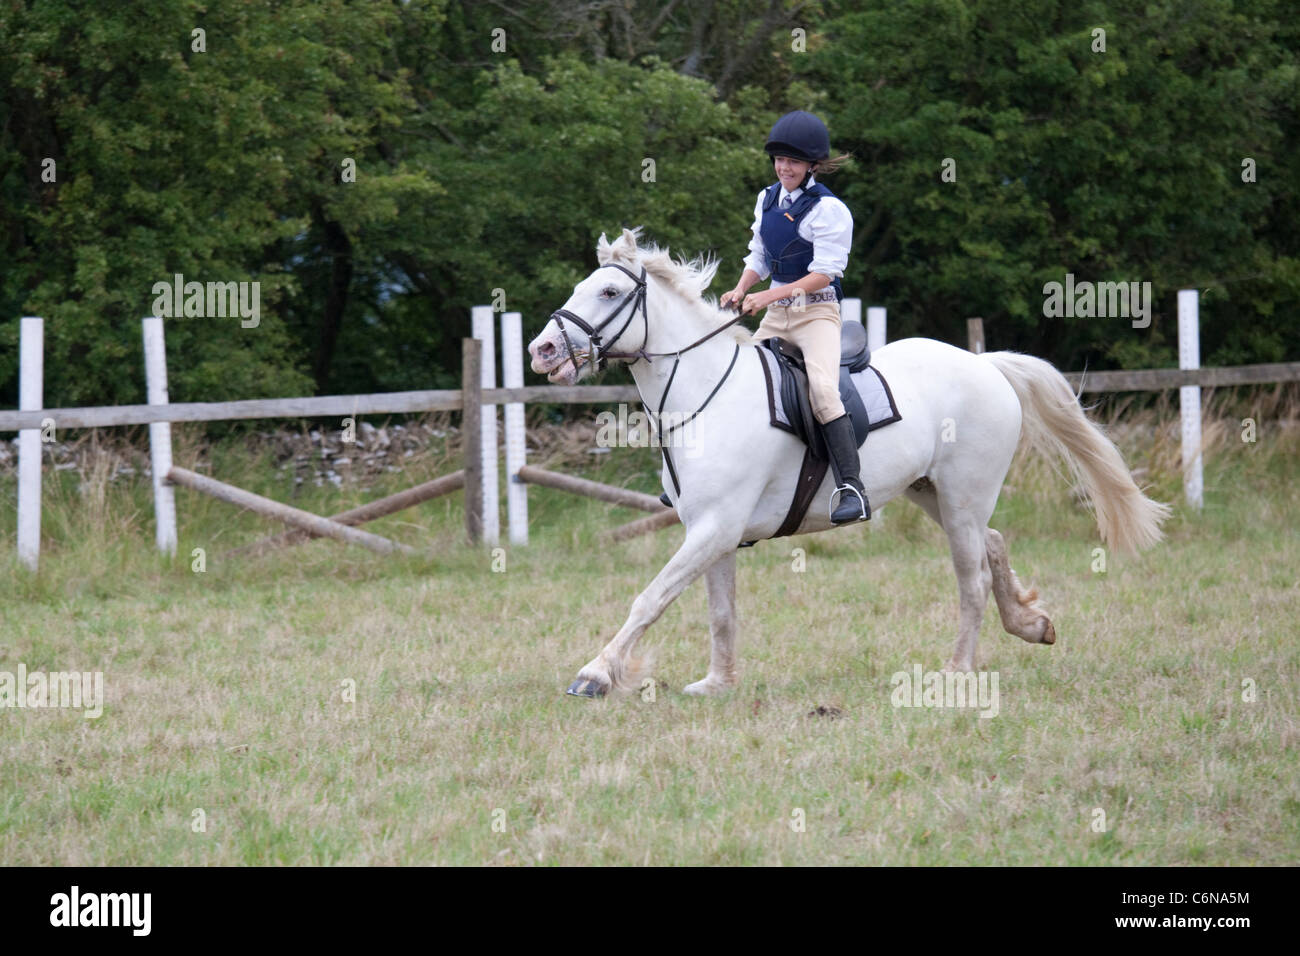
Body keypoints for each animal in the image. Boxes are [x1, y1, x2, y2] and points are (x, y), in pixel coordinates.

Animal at [528, 228, 1171, 698]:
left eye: (609, 294)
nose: (542, 350)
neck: (705, 392)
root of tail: (985, 364)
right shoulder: (712, 533)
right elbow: (719, 612)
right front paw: (718, 684)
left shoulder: (714, 528)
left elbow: (650, 598)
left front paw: (596, 673)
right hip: (931, 493)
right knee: (993, 542)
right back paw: (1031, 625)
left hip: (962, 496)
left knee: (973, 578)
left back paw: (957, 671)